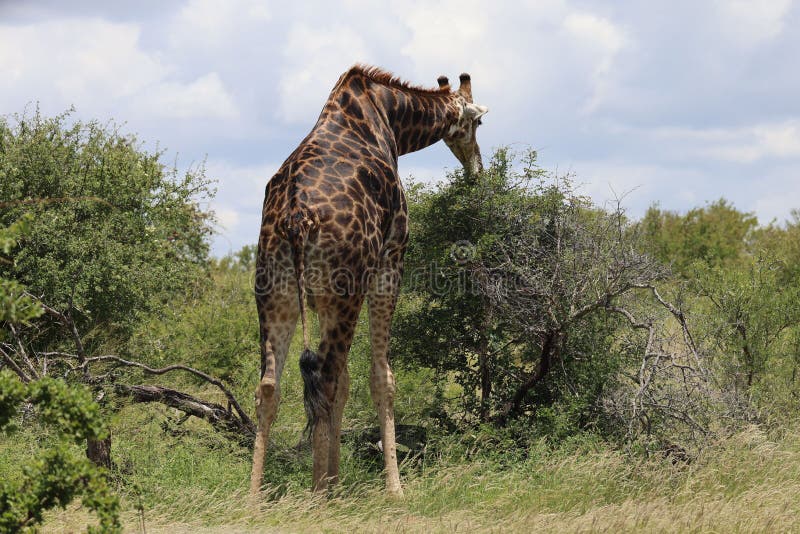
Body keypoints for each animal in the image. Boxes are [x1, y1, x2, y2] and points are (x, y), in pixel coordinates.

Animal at [249, 65, 488, 498]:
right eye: (477, 122)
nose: (477, 168)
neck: (389, 116)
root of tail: (295, 217)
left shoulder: (320, 299)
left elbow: (346, 383)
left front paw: (337, 478)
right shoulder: (390, 261)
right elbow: (381, 378)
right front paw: (393, 489)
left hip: (275, 290)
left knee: (270, 386)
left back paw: (253, 500)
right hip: (345, 288)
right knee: (324, 380)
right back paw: (319, 496)